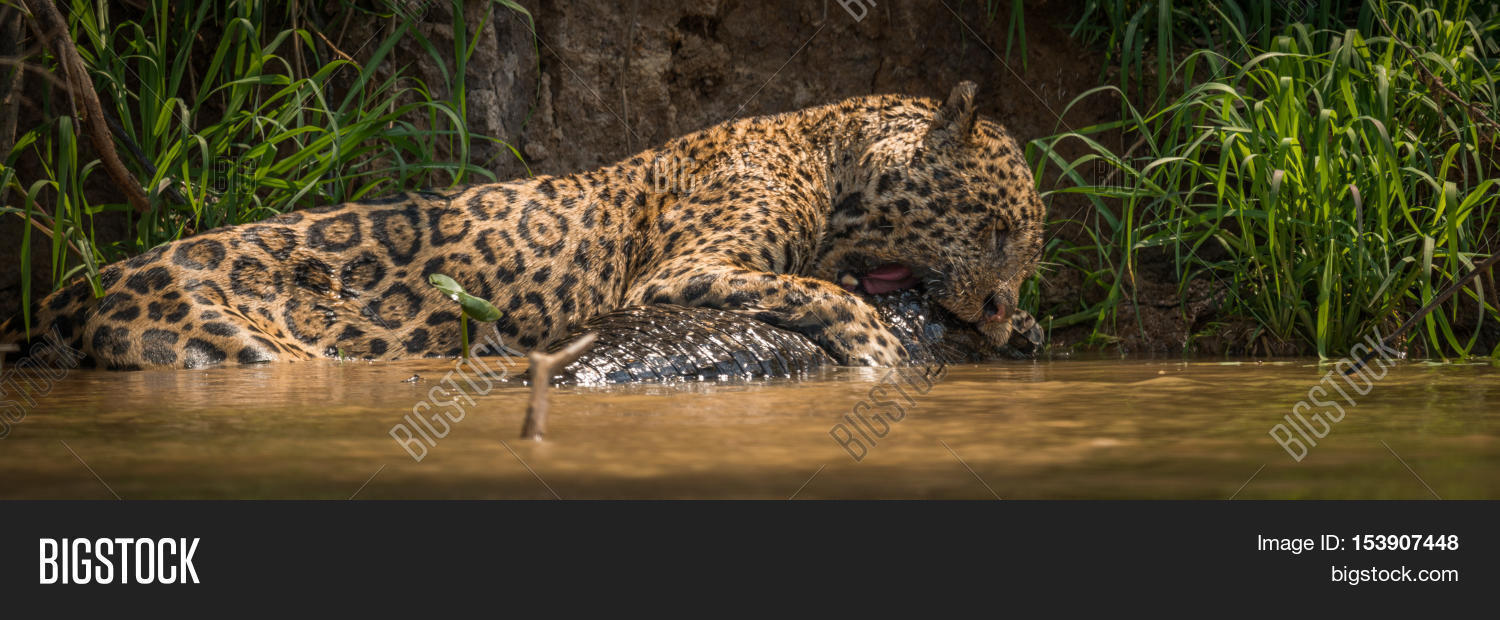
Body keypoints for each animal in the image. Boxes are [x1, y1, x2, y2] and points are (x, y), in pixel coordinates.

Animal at [1, 81, 1045, 370]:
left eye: (1025, 253)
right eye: (998, 231)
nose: (999, 307)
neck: (832, 149)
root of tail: (73, 288)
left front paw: (1025, 327)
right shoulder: (686, 271)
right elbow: (819, 291)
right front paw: (876, 351)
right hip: (236, 345)